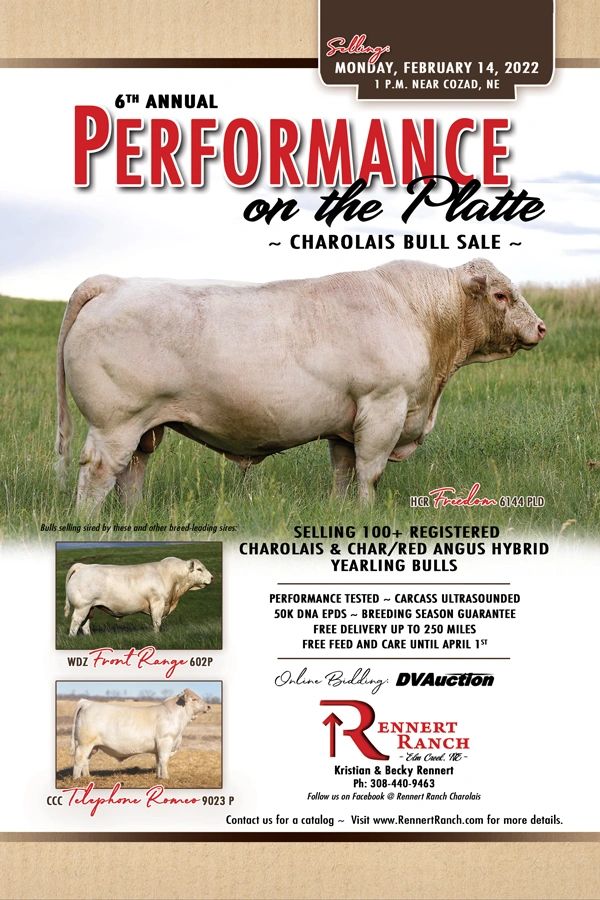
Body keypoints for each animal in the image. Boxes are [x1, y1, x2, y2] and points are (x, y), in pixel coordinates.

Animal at [55, 259, 546, 507]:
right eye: (501, 295)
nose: (540, 327)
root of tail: (114, 282)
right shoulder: (384, 406)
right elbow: (370, 472)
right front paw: (366, 515)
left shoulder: (347, 423)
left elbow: (343, 471)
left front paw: (342, 514)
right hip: (114, 423)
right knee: (98, 475)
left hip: (144, 428)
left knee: (130, 475)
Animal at [64, 556, 213, 636]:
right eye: (199, 569)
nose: (212, 577)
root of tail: (83, 566)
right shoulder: (157, 603)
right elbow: (157, 622)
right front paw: (156, 636)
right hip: (82, 606)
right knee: (76, 622)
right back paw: (72, 637)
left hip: (90, 607)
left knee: (85, 624)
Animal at [70, 688, 208, 779]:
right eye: (194, 699)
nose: (208, 706)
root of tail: (87, 702)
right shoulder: (165, 741)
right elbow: (164, 760)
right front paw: (166, 778)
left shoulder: (158, 747)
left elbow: (158, 761)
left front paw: (159, 777)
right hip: (84, 743)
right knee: (79, 759)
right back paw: (77, 779)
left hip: (93, 746)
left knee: (86, 761)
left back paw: (87, 777)